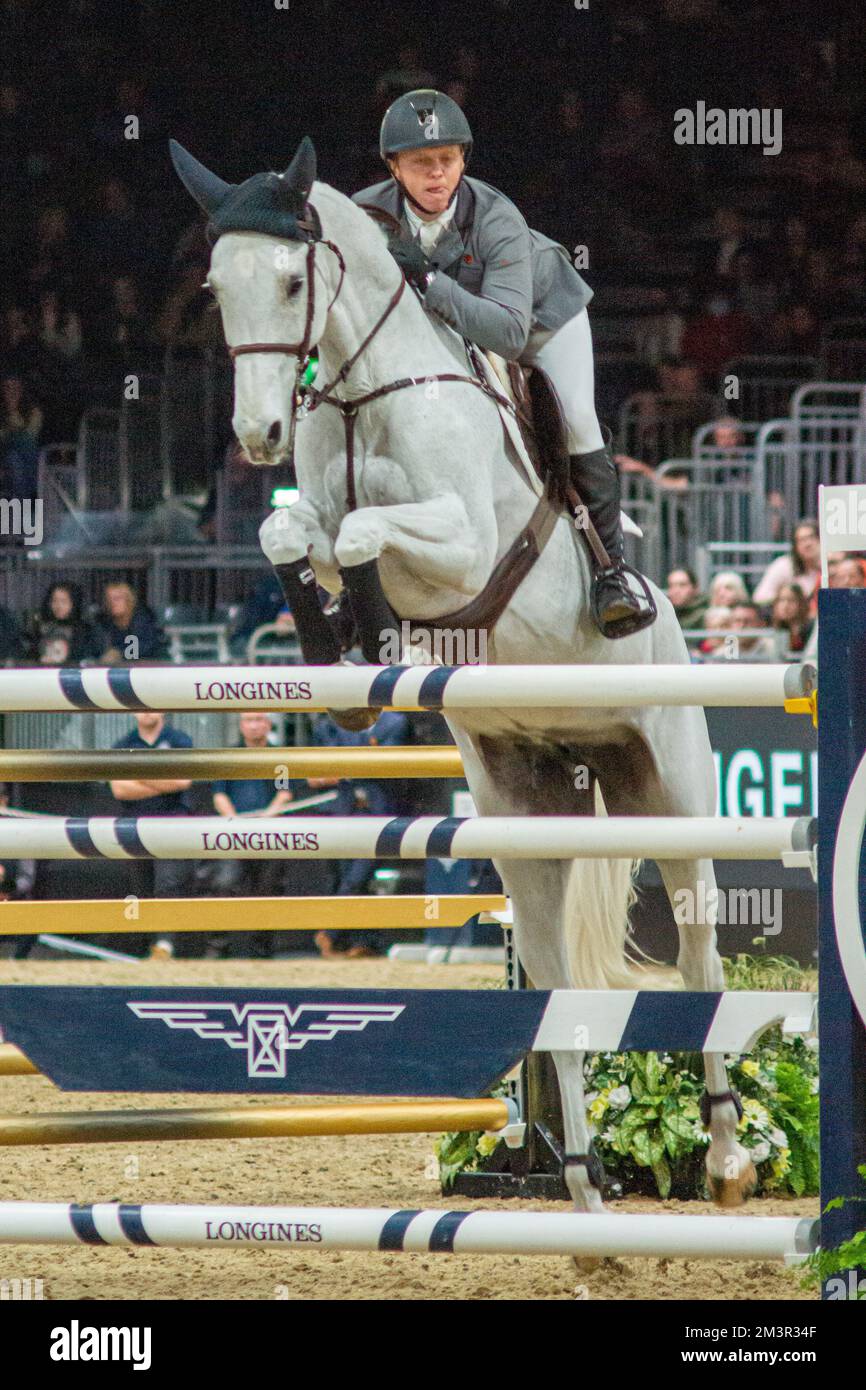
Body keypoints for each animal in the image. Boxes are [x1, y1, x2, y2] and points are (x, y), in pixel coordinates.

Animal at [171, 135, 755, 1213]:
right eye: (215, 288)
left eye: (290, 280)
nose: (259, 437)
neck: (365, 391)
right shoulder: (316, 519)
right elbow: (296, 533)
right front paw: (341, 648)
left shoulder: (465, 546)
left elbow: (363, 532)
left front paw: (371, 636)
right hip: (525, 811)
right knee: (557, 978)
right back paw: (580, 1181)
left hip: (673, 791)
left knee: (700, 958)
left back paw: (728, 1159)